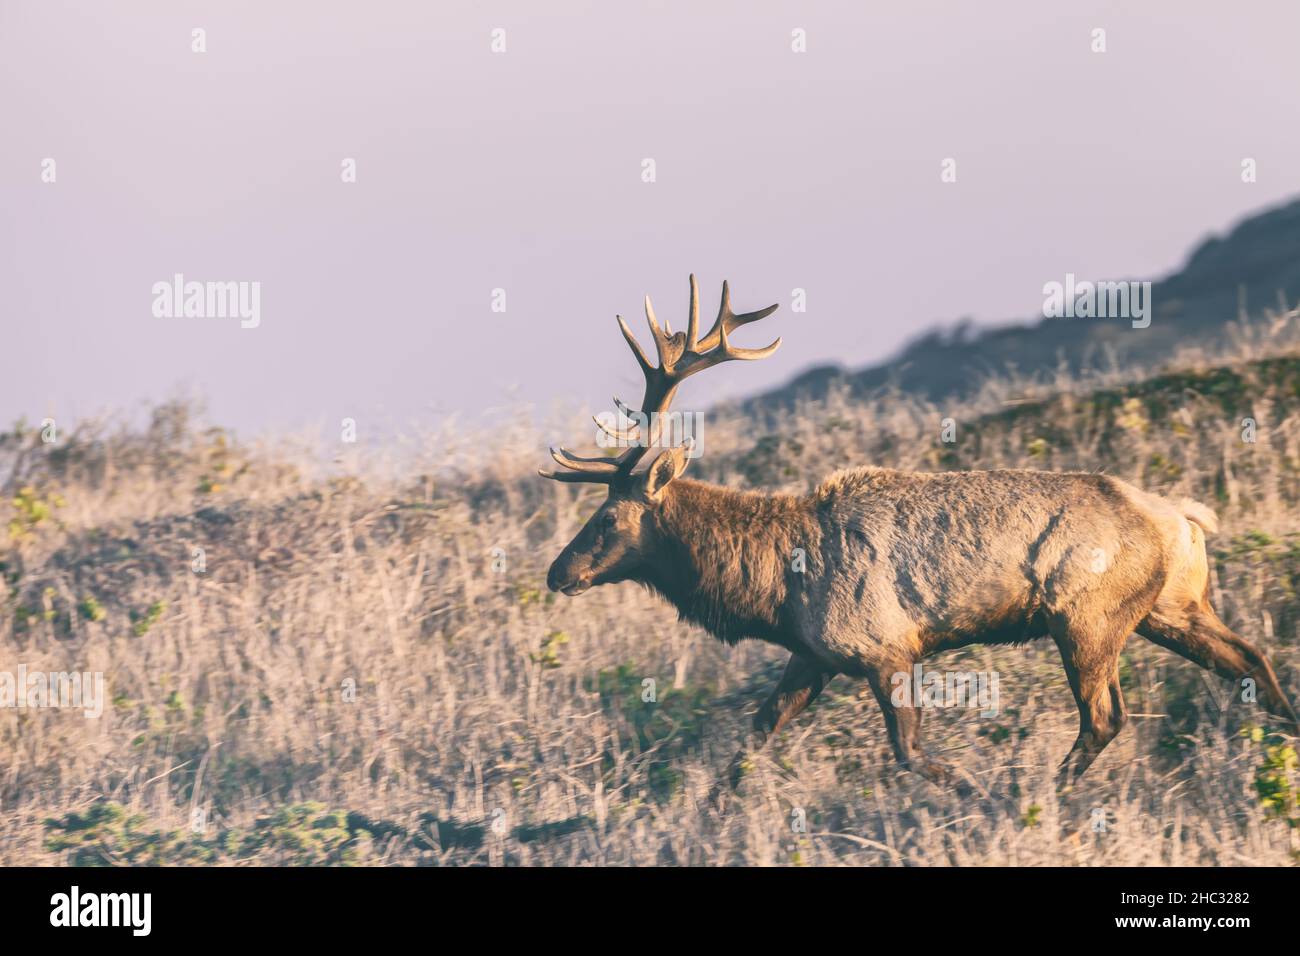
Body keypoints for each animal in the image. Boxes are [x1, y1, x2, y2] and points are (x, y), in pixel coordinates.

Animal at [539, 275, 1300, 799]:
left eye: (607, 518)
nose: (557, 573)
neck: (775, 585)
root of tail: (1184, 517)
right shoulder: (811, 655)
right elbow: (754, 736)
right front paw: (710, 810)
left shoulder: (885, 646)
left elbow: (907, 751)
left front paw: (976, 790)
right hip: (1170, 606)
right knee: (1249, 660)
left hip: (1087, 615)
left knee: (1107, 715)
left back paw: (1047, 793)